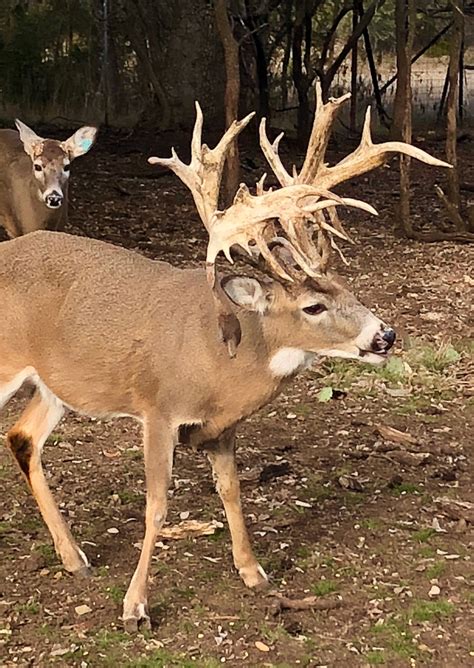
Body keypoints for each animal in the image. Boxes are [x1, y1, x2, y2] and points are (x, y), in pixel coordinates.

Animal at [0, 86, 450, 632]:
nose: (385, 335)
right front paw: (135, 606)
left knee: (22, 436)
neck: (222, 359)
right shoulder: (157, 409)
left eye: (348, 287)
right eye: (312, 306)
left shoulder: (221, 426)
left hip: (55, 383)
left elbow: (232, 490)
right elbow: (157, 505)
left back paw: (74, 558)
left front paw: (253, 571)